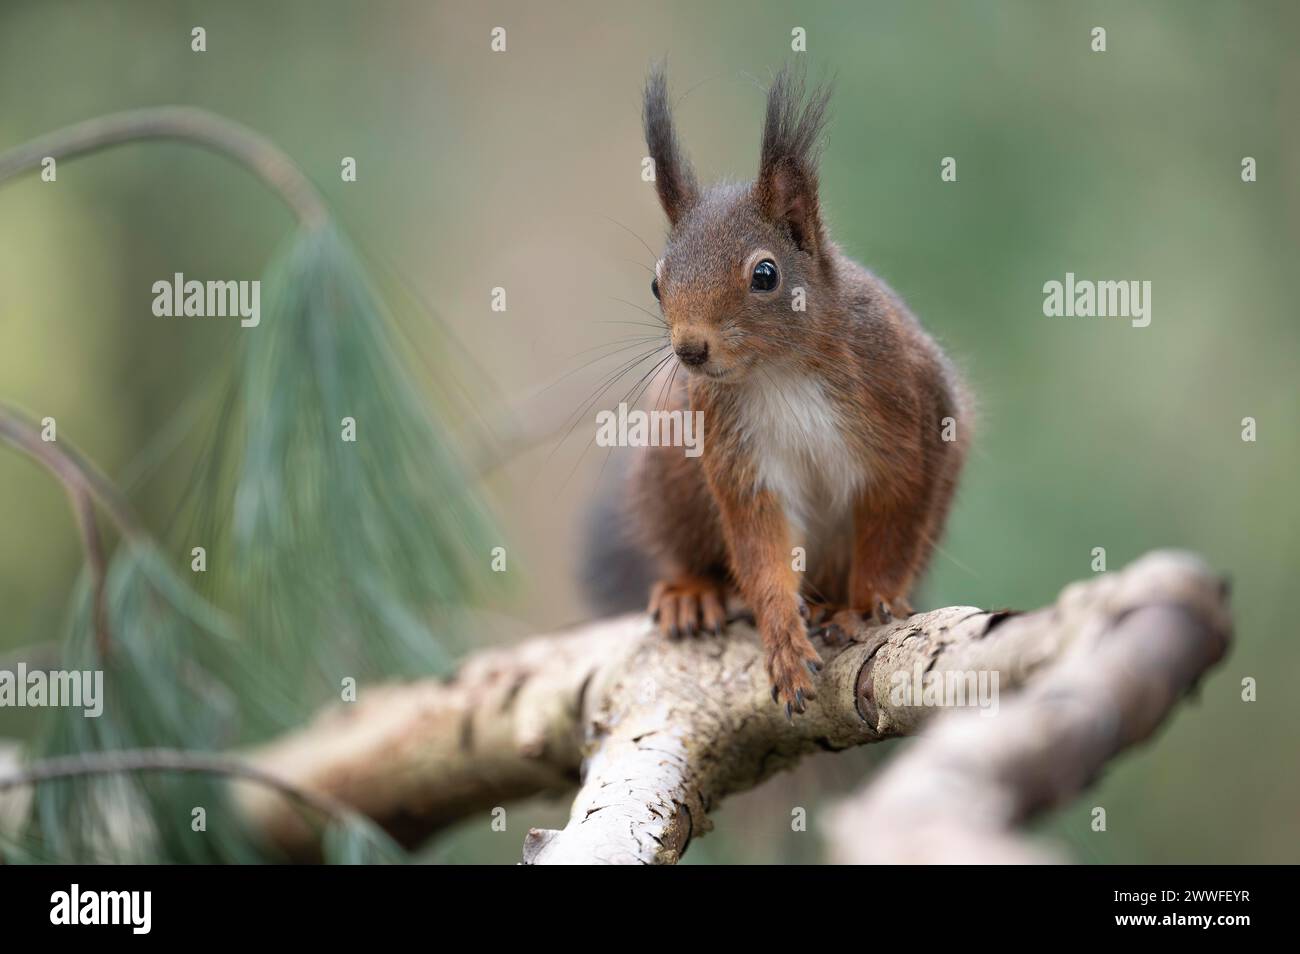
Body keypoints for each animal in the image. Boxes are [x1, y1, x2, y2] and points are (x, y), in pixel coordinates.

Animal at [591, 64, 971, 719]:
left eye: (765, 275)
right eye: (656, 284)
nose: (690, 350)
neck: (779, 371)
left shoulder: (907, 406)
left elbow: (895, 519)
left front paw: (866, 606)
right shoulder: (731, 444)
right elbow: (762, 546)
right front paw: (784, 643)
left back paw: (829, 603)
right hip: (669, 471)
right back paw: (693, 591)